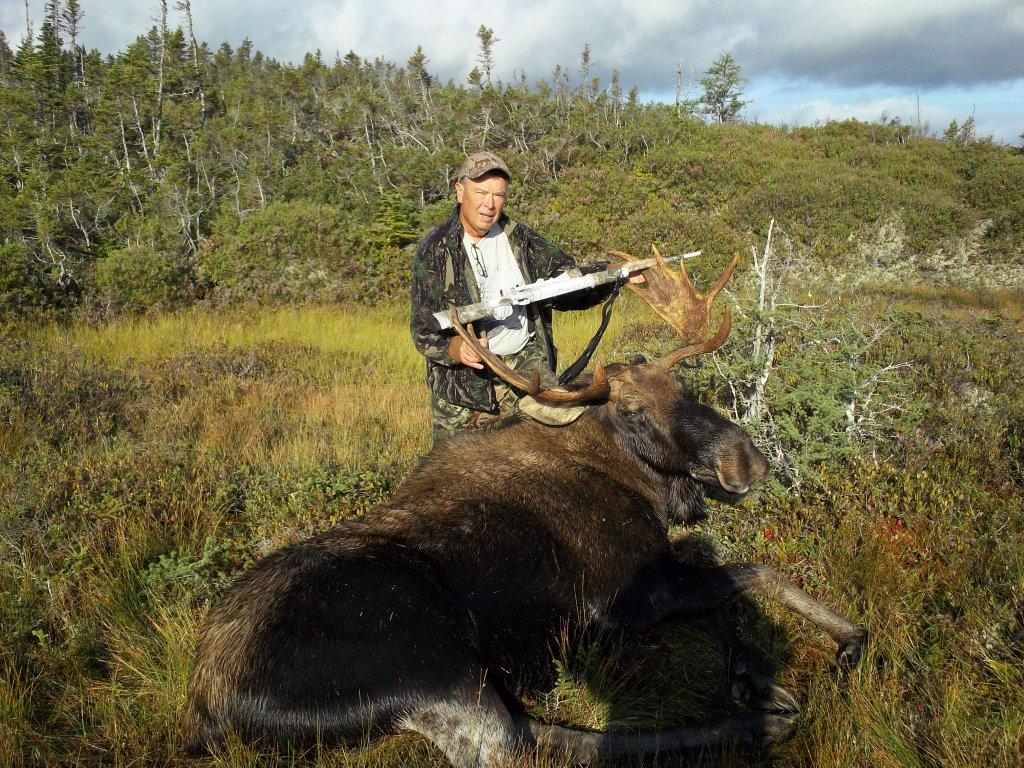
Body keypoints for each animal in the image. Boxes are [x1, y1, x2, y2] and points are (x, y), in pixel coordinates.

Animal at [184, 250, 868, 766]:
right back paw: (758, 727)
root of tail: (208, 710)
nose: (744, 462)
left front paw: (753, 673)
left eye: (684, 387)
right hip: (433, 659)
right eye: (633, 412)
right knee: (522, 743)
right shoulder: (622, 599)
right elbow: (753, 575)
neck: (633, 478)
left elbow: (726, 603)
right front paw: (848, 643)